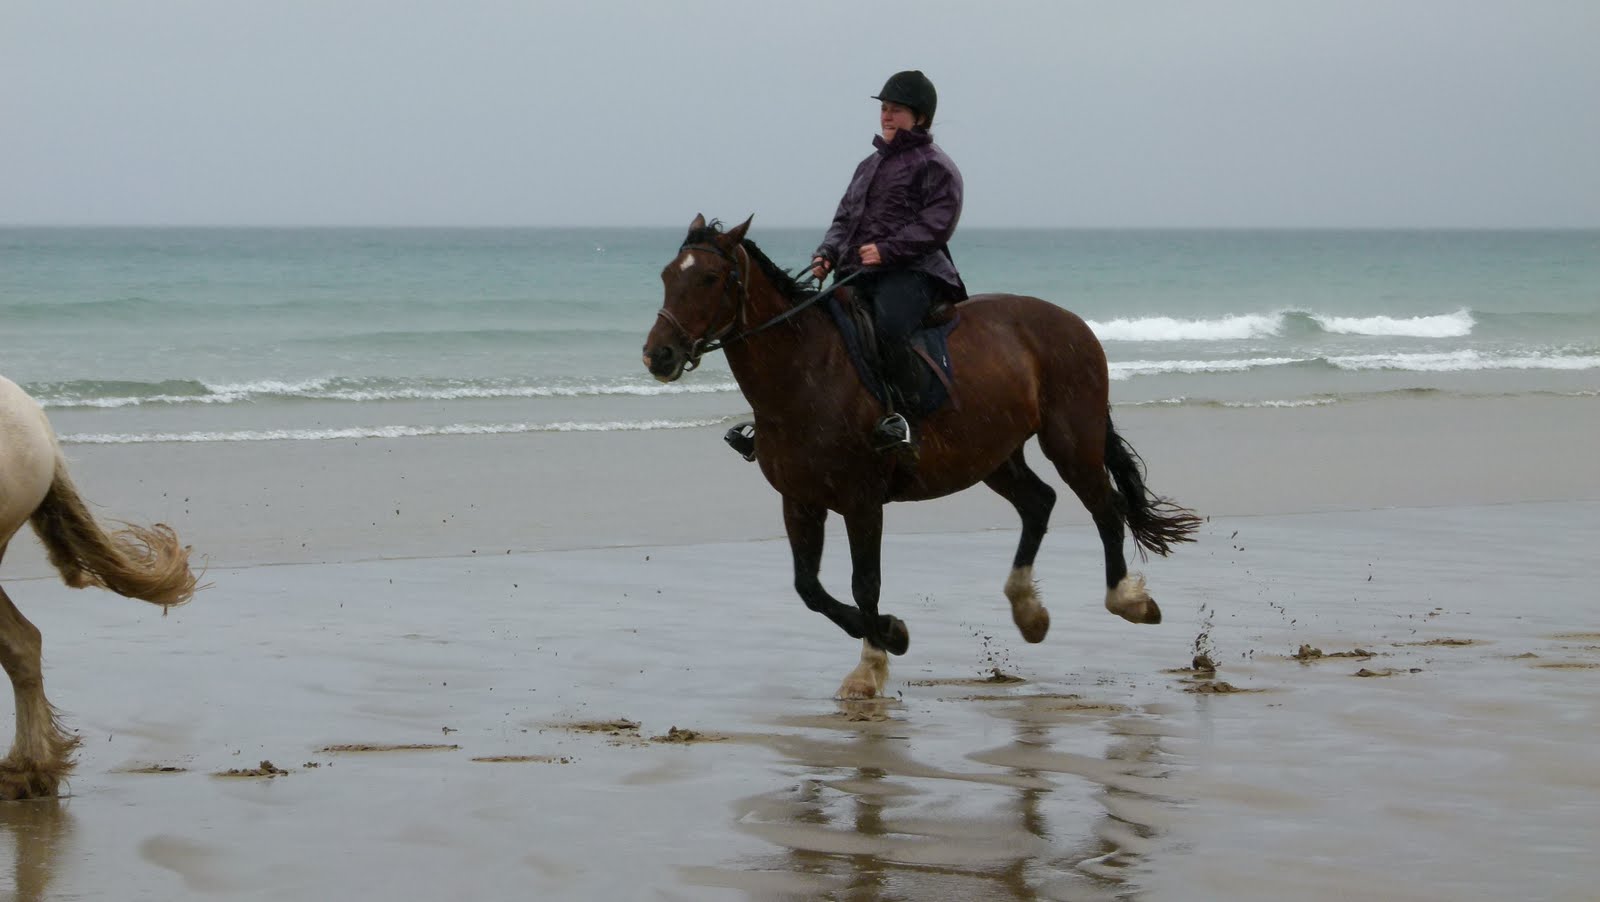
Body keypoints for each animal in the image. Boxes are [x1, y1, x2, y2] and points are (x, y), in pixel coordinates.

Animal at [642, 216, 1201, 699]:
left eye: (710, 278)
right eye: (668, 275)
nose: (658, 355)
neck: (805, 372)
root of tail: (1073, 323)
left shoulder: (862, 501)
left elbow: (864, 583)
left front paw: (870, 665)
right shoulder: (800, 501)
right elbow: (809, 588)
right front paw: (893, 633)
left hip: (1070, 440)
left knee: (1105, 507)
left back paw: (1127, 600)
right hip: (994, 455)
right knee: (1039, 502)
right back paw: (1028, 611)